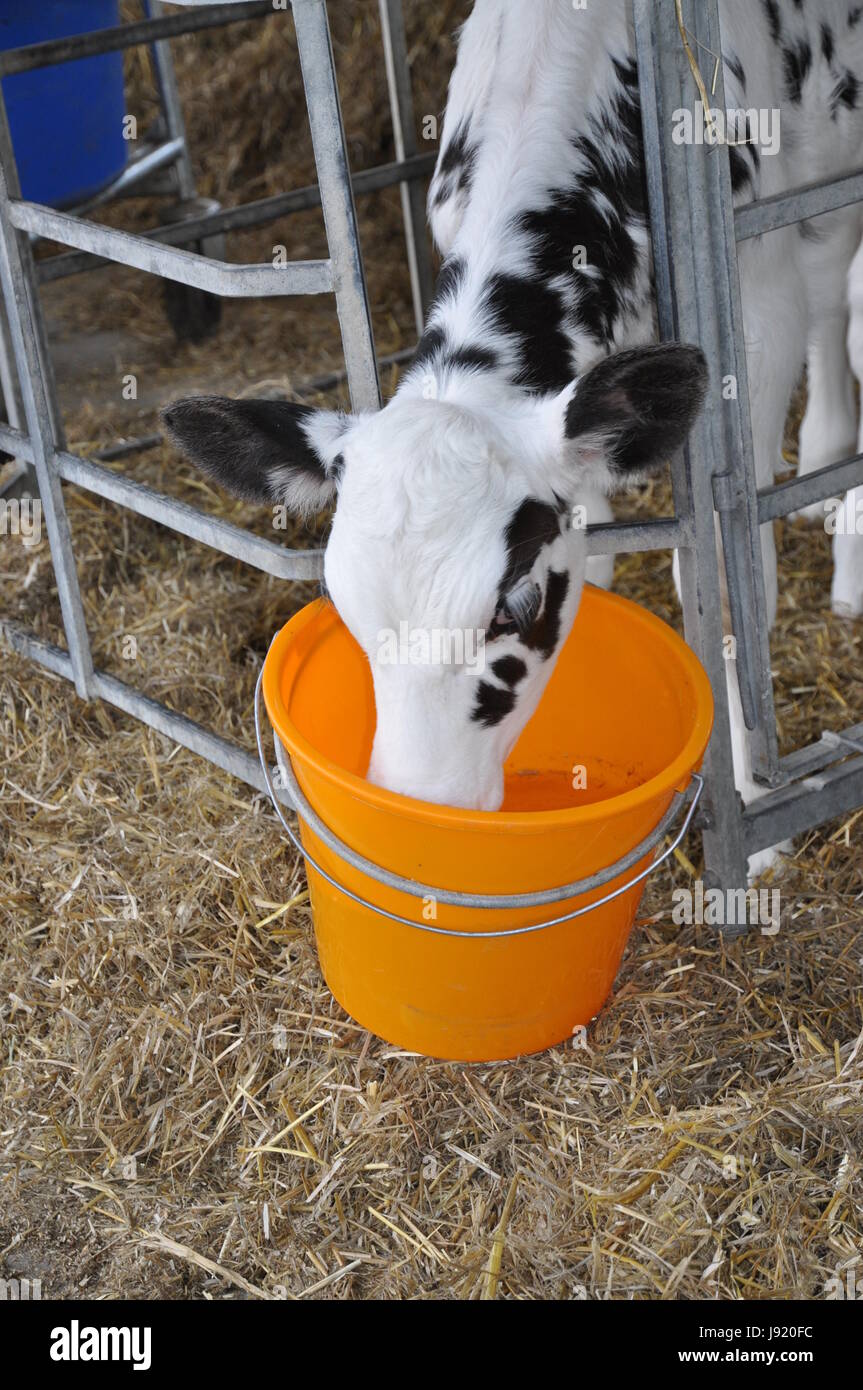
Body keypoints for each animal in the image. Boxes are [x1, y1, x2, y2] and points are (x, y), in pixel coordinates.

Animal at [162, 0, 863, 880]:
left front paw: (756, 811)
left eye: (514, 605)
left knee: (834, 296)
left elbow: (736, 583)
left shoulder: (754, 303)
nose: (426, 808)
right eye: (348, 611)